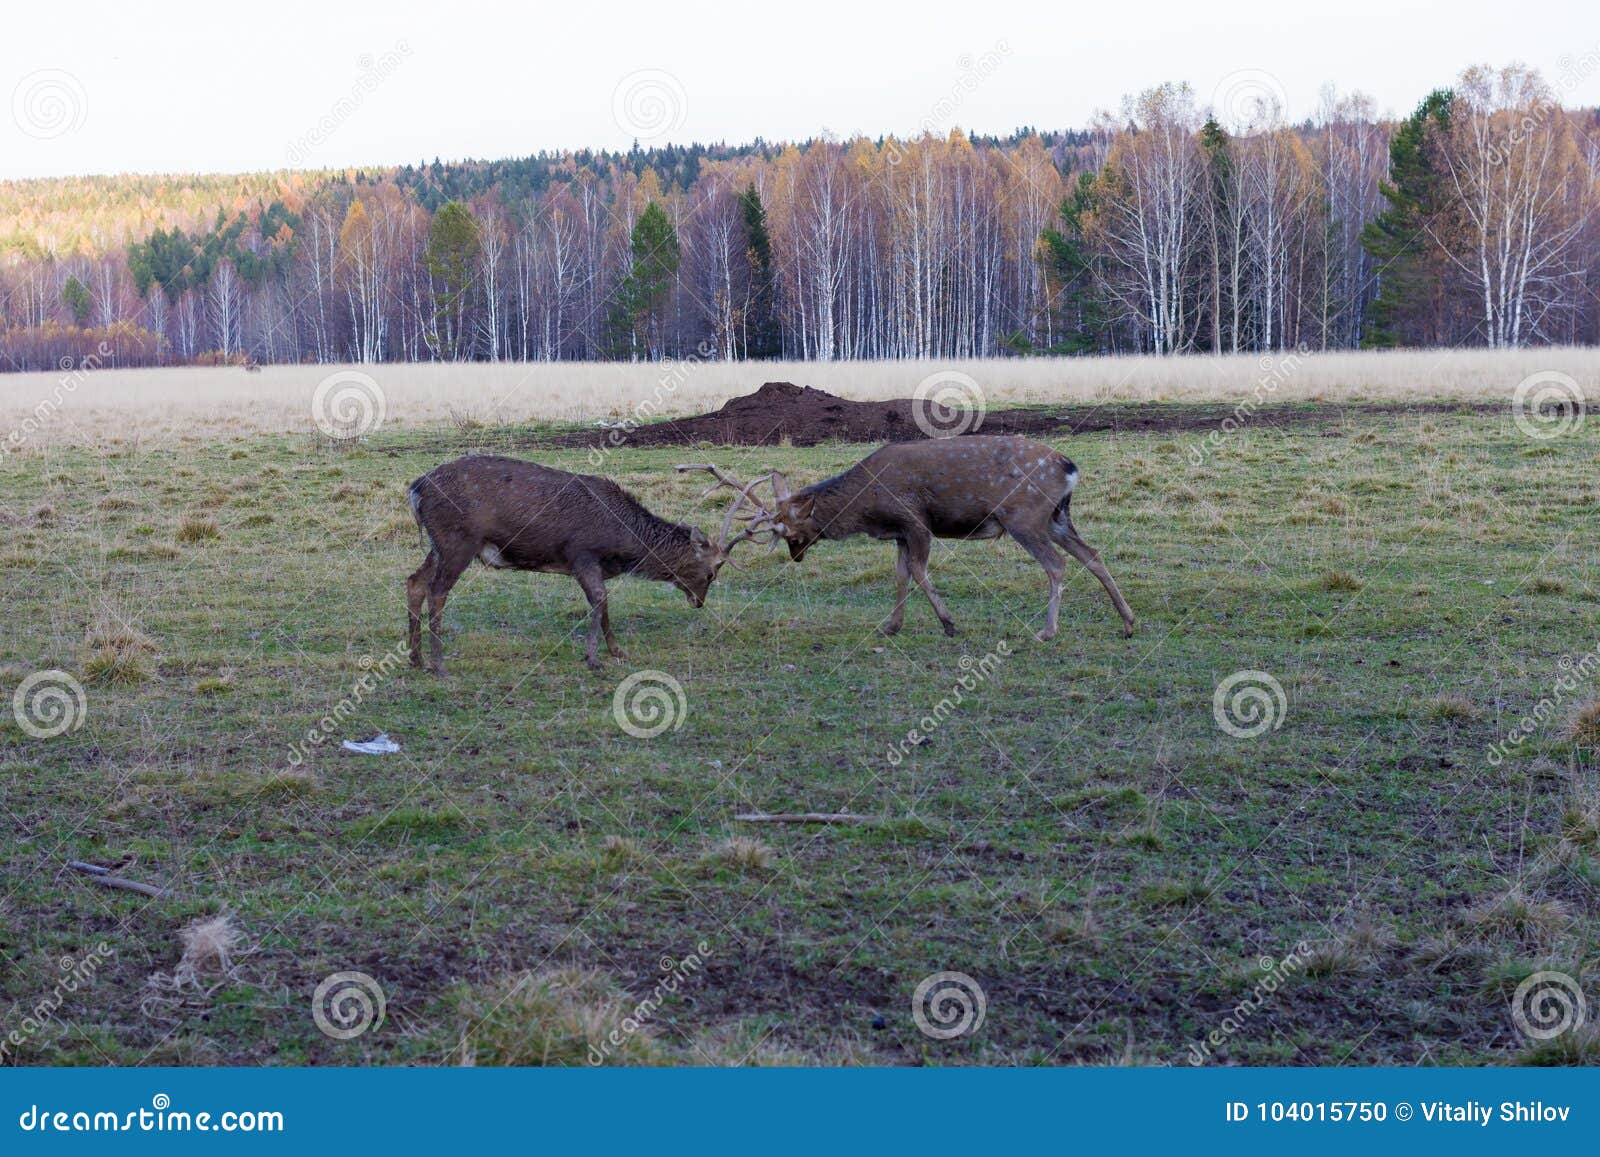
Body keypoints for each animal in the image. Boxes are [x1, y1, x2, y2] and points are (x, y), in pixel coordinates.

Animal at [406, 456, 772, 675]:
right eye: (711, 572)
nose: (699, 602)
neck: (624, 543)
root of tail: (416, 487)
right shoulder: (581, 553)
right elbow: (599, 600)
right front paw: (593, 657)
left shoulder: (591, 564)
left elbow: (605, 603)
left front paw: (617, 651)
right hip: (458, 540)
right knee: (437, 591)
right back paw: (438, 663)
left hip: (439, 545)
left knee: (415, 581)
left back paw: (415, 657)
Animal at [725, 435, 1135, 643]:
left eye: (791, 532)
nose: (795, 556)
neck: (869, 508)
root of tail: (1070, 467)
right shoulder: (900, 534)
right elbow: (901, 575)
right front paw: (891, 626)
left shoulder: (916, 522)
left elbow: (919, 572)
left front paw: (949, 623)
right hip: (1056, 517)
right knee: (1092, 554)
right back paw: (1129, 622)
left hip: (1025, 517)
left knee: (1057, 563)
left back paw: (1048, 631)